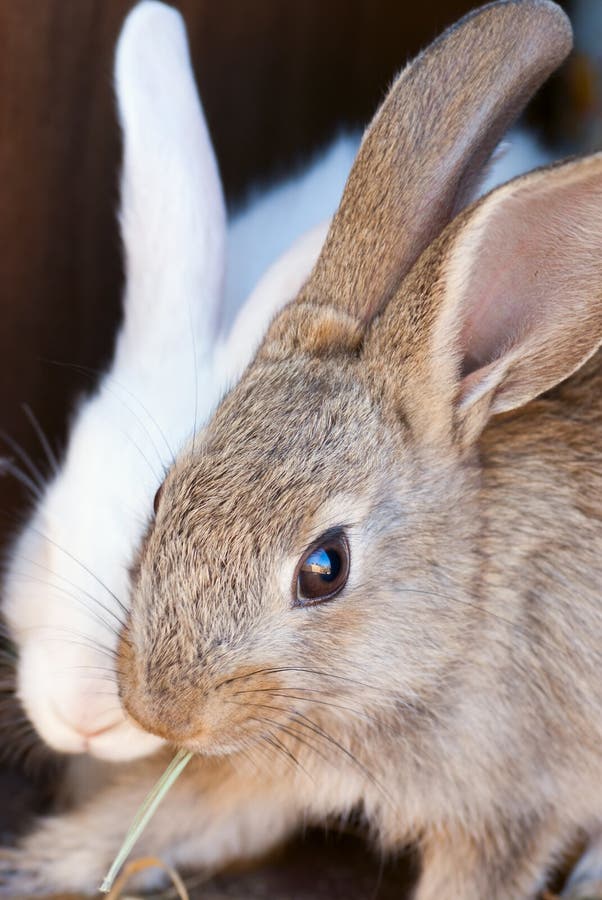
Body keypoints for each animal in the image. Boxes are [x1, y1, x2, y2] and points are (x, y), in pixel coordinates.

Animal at [5, 0, 598, 898]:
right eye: (166, 496)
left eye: (326, 568)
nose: (158, 710)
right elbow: (161, 820)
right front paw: (36, 864)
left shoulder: (511, 803)